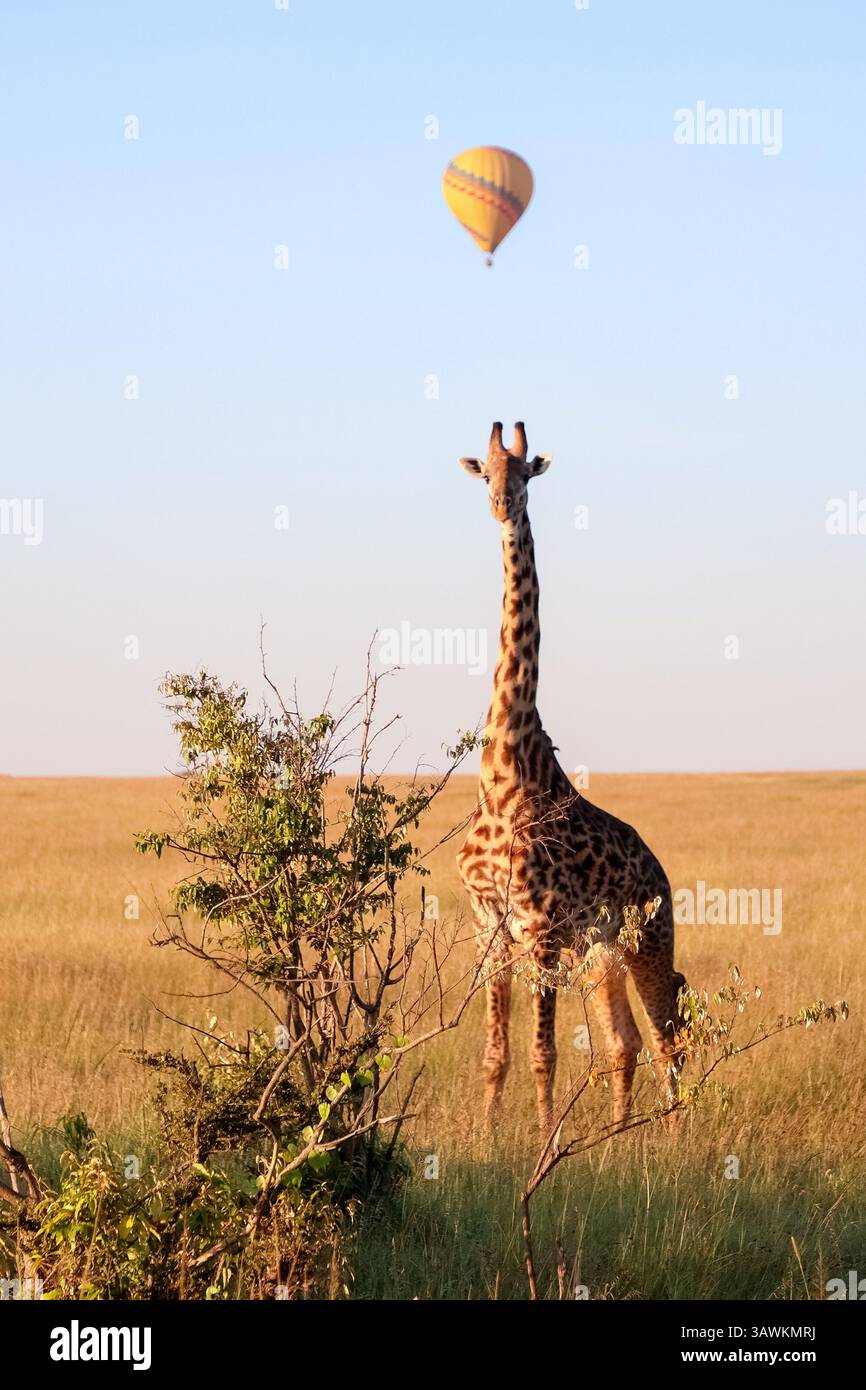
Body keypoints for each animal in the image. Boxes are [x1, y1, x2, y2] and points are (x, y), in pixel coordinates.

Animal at [457, 421, 686, 1134]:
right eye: (484, 473)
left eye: (525, 472)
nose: (501, 506)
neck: (504, 773)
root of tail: (660, 869)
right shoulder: (491, 926)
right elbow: (496, 1052)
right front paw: (489, 1132)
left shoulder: (542, 929)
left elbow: (544, 1052)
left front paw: (540, 1136)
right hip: (601, 952)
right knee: (624, 1041)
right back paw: (618, 1136)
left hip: (648, 937)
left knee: (669, 1036)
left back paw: (676, 1136)